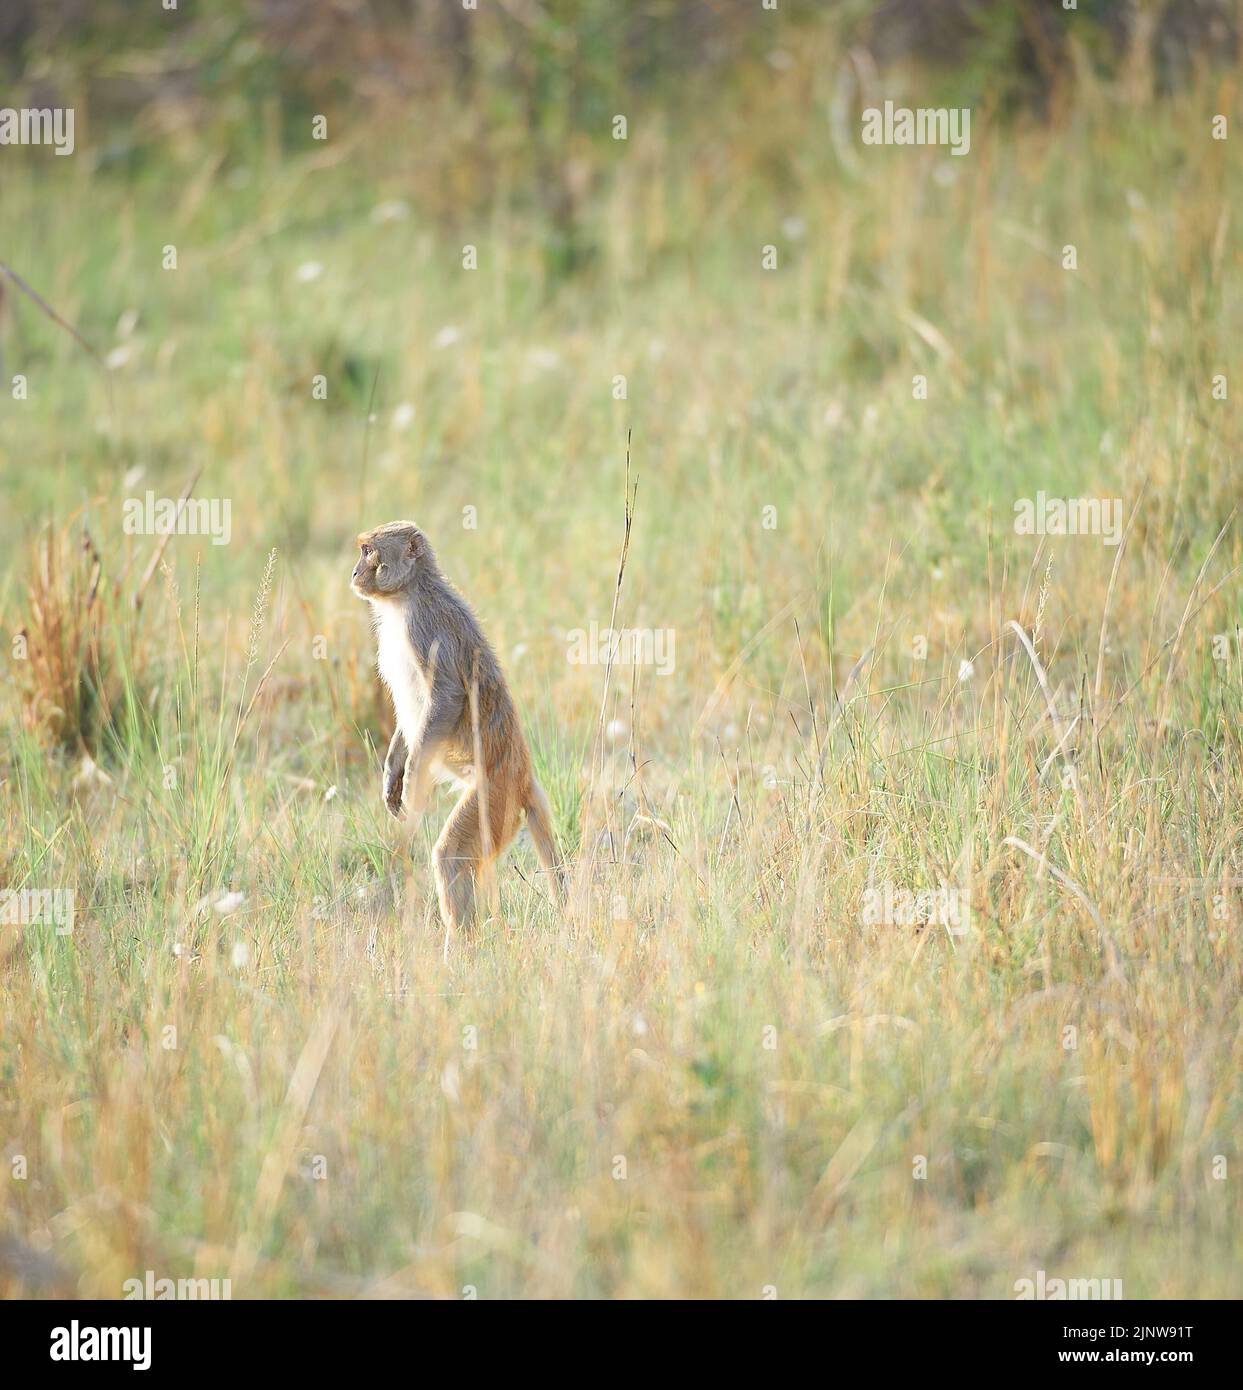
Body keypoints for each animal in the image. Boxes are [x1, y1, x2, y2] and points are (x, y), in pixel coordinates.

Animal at [351, 520, 564, 937]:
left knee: (453, 854)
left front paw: (412, 776)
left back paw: (462, 945)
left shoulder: (425, 627)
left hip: (494, 798)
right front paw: (392, 773)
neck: (408, 594)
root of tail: (522, 775)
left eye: (369, 552)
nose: (354, 572)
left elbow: (448, 697)